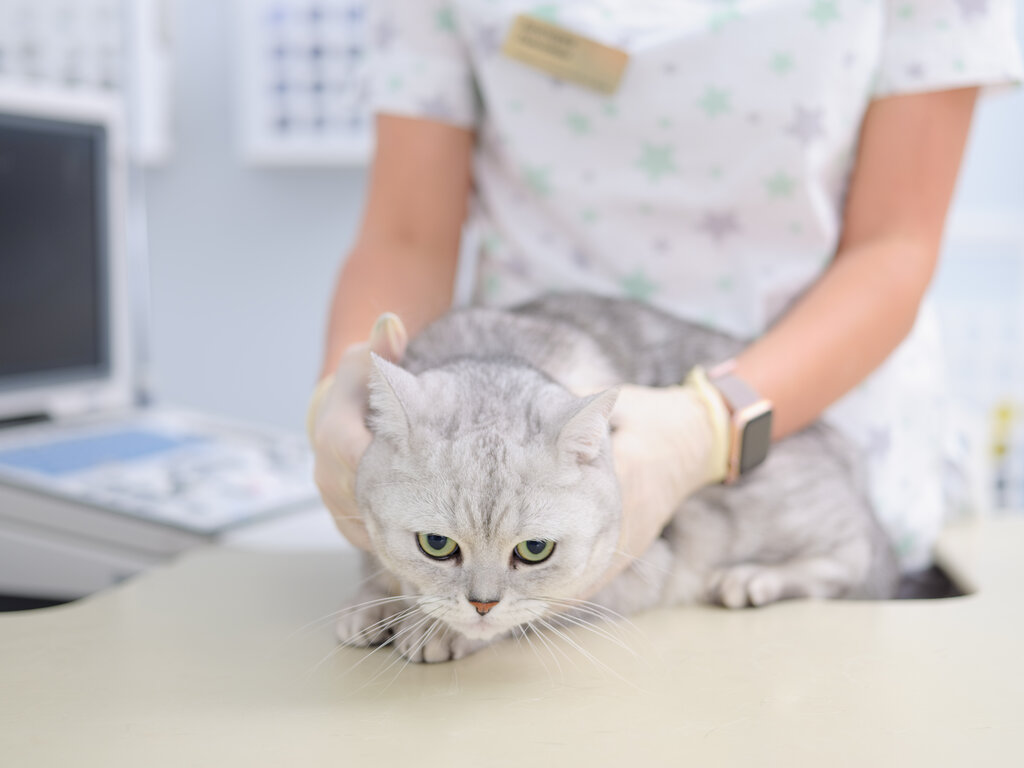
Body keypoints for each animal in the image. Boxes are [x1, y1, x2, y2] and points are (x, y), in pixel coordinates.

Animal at [337, 293, 899, 663]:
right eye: (437, 544)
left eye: (534, 550)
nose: (481, 605)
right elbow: (377, 564)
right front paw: (370, 602)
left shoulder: (644, 567)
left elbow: (536, 611)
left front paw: (434, 629)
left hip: (774, 507)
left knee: (851, 558)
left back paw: (751, 579)